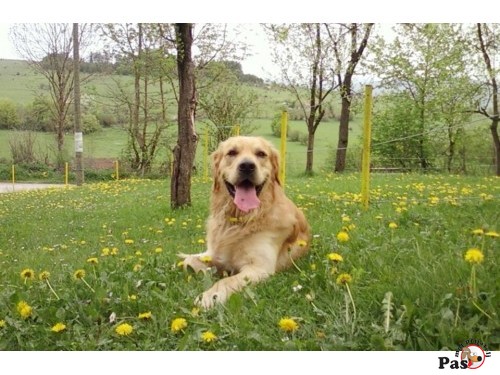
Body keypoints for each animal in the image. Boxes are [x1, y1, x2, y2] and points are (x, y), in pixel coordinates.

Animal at [181, 135, 308, 308]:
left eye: (261, 154)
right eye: (232, 152)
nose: (247, 166)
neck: (240, 219)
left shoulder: (259, 267)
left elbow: (226, 281)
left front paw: (208, 296)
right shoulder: (212, 253)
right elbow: (189, 261)